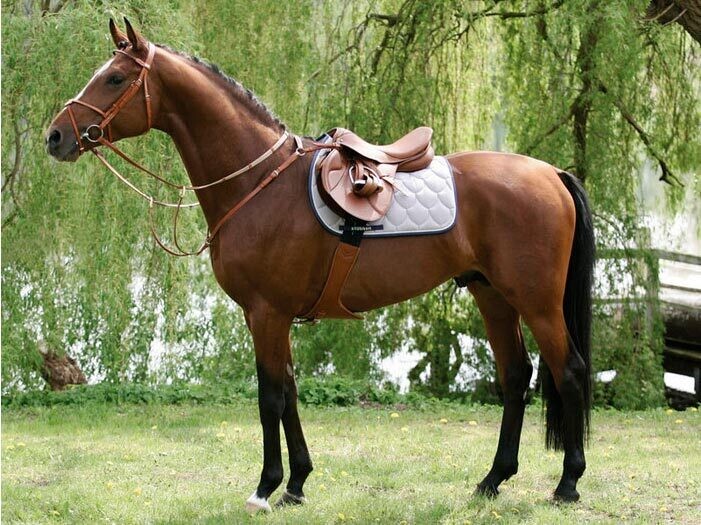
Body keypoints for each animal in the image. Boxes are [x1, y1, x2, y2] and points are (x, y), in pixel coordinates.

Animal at [46, 19, 595, 512]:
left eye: (115, 78)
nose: (56, 136)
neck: (261, 183)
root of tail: (551, 173)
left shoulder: (266, 313)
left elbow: (269, 397)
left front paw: (265, 488)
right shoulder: (272, 316)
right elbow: (289, 392)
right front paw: (296, 484)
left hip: (537, 302)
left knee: (568, 372)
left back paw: (568, 484)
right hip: (492, 294)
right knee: (515, 377)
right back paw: (492, 481)